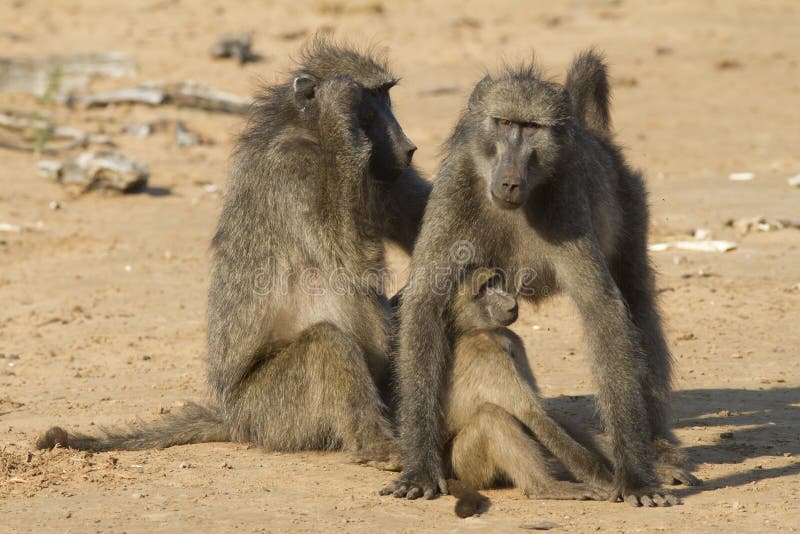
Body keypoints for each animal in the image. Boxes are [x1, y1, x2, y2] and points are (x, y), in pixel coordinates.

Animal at [36, 38, 431, 471]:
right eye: (371, 99)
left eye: (387, 94)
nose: (409, 149)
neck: (310, 133)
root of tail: (234, 418)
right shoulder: (293, 172)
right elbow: (350, 259)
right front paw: (336, 103)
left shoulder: (385, 176)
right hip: (272, 412)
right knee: (327, 344)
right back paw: (379, 447)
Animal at [440, 267, 611, 517]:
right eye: (484, 289)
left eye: (495, 283)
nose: (510, 299)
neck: (478, 330)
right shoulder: (487, 352)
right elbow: (531, 414)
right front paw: (607, 479)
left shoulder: (513, 340)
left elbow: (543, 415)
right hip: (465, 465)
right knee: (492, 416)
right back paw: (545, 488)